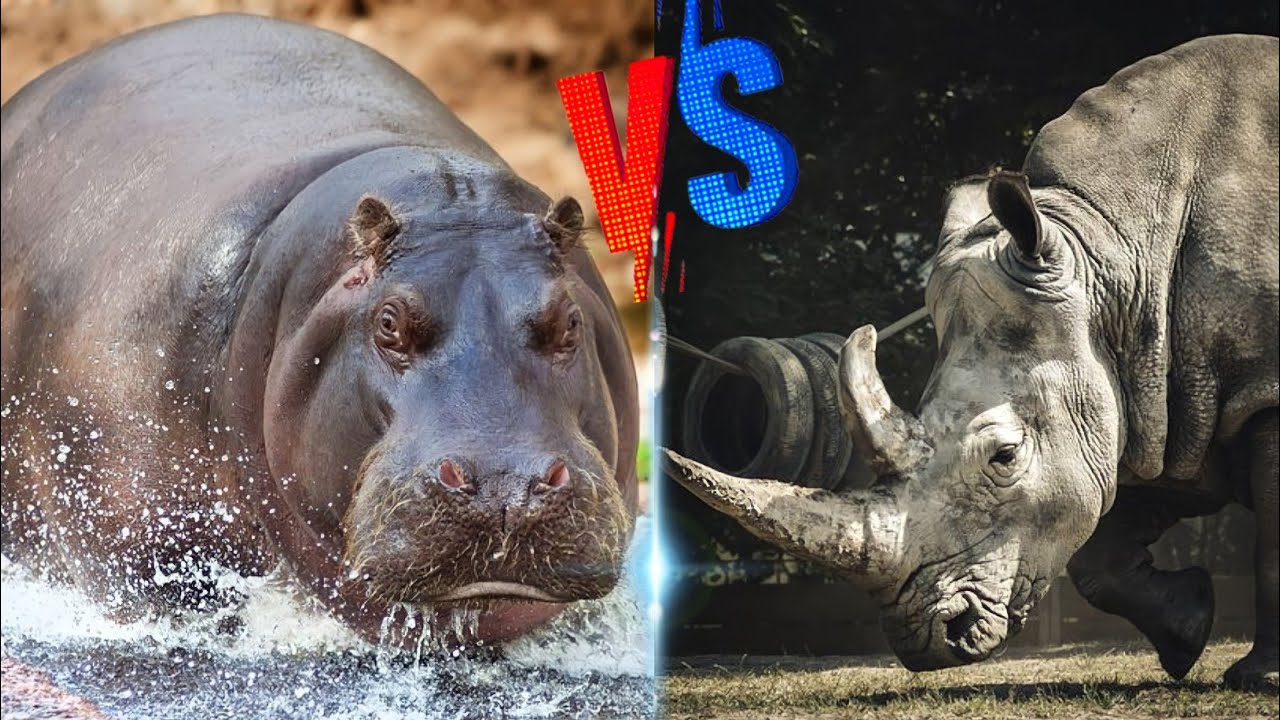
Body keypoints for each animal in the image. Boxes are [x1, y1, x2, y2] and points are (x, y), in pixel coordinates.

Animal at [665, 34, 1278, 688]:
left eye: (1004, 456)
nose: (927, 641)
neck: (1116, 255)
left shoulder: (1255, 390)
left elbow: (1270, 541)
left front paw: (1256, 678)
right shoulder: (1165, 401)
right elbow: (1100, 558)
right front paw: (1188, 630)